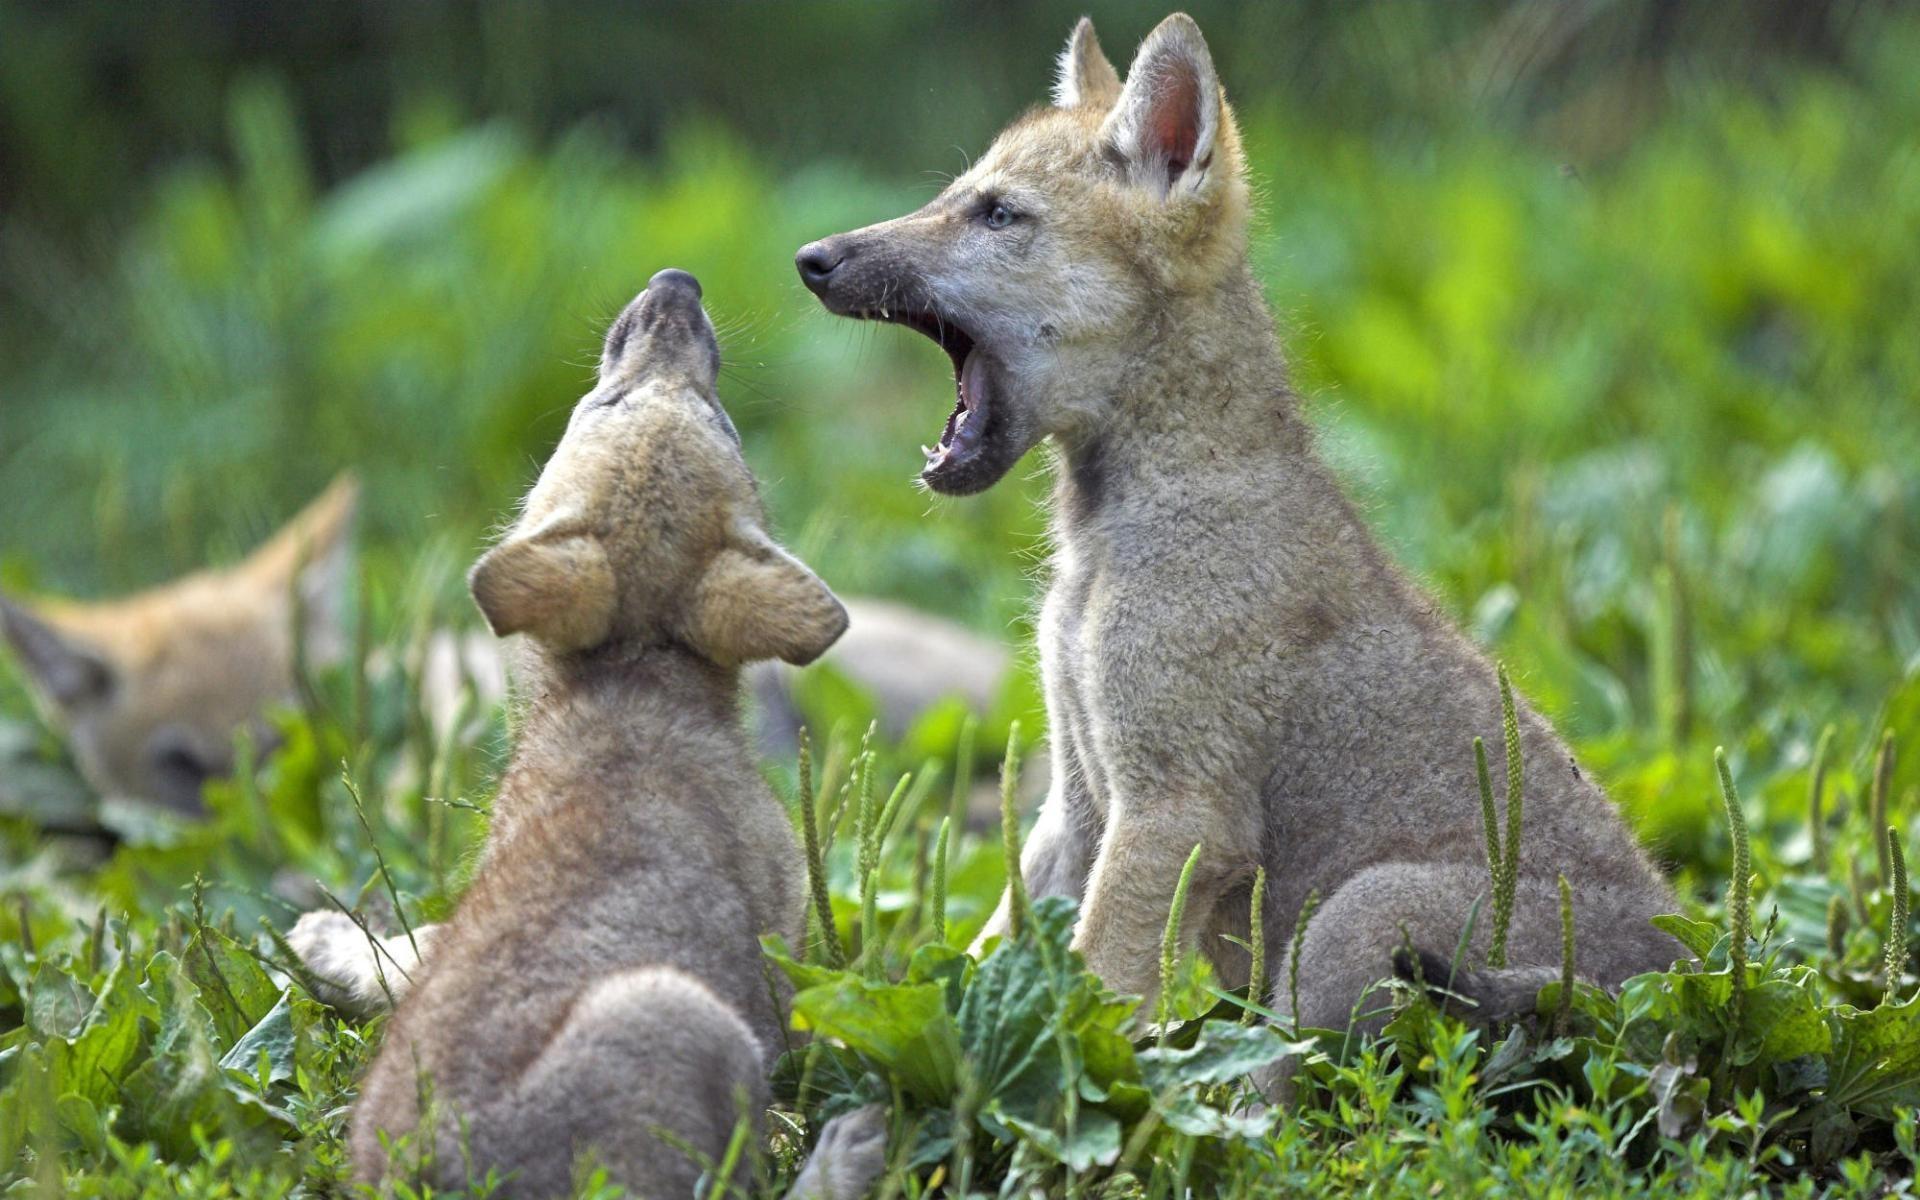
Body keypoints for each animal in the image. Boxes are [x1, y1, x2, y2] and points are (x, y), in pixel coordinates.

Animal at [320, 270, 884, 1198]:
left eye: (717, 416)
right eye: (606, 401)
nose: (677, 284)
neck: (635, 669)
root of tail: (440, 1179)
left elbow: (419, 946)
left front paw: (329, 943)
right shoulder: (787, 951)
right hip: (682, 1015)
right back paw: (849, 1153)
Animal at [794, 13, 1677, 1068]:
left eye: (998, 214)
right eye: (957, 195)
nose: (810, 257)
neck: (1108, 540)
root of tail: (1672, 981)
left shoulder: (1176, 813)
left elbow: (1085, 997)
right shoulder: (1076, 805)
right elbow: (988, 956)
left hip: (1353, 920)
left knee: (1288, 1071)